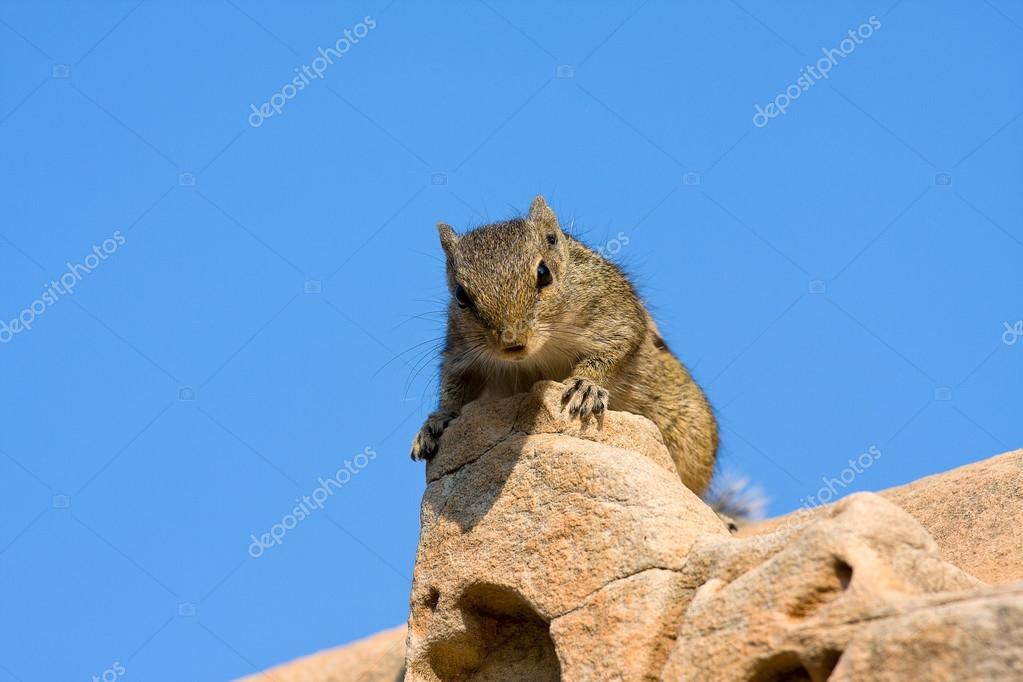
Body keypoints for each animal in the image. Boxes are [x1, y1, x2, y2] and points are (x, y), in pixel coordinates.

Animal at [410, 195, 719, 497]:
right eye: (460, 295)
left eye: (543, 272)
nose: (513, 343)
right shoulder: (460, 351)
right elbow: (456, 385)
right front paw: (436, 422)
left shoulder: (616, 313)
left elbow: (615, 349)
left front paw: (585, 386)